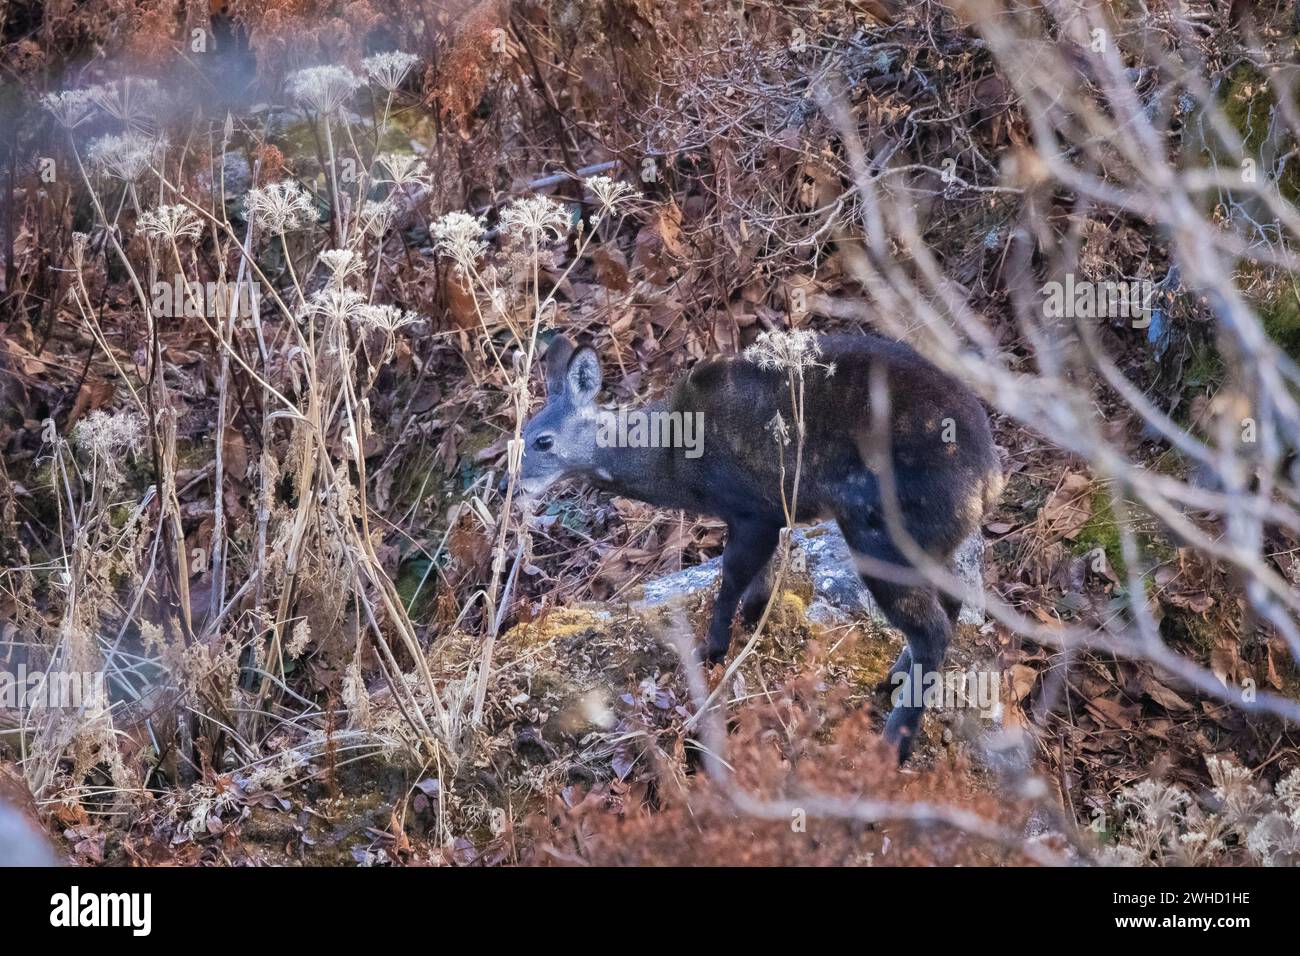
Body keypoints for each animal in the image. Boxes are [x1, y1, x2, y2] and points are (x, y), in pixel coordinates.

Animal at [517, 333, 1003, 761]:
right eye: (521, 433)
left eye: (544, 440)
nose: (509, 484)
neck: (674, 460)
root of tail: (989, 479)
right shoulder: (771, 515)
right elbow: (758, 575)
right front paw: (756, 614)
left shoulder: (754, 508)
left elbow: (731, 576)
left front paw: (713, 647)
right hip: (930, 540)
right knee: (950, 605)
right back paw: (894, 680)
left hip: (882, 531)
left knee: (932, 629)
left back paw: (893, 743)